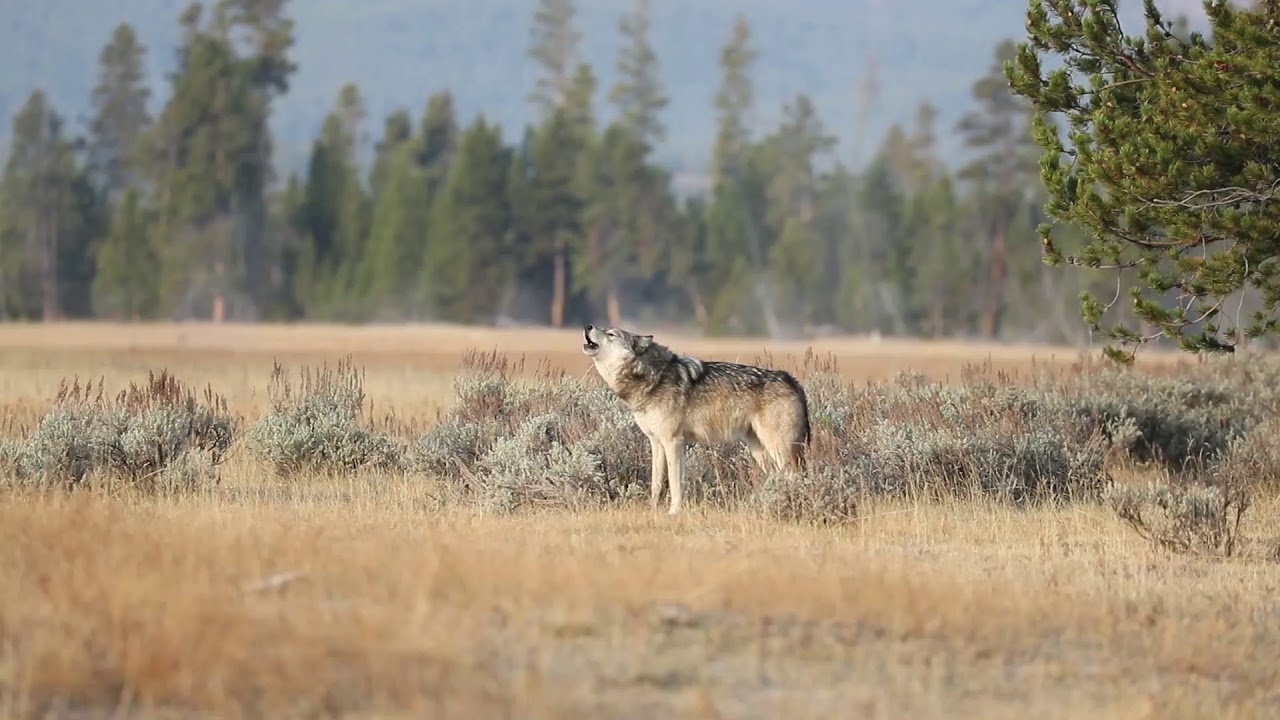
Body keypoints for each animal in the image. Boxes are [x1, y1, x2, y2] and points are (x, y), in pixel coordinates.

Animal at [581, 324, 811, 515]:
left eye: (612, 334)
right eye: (605, 329)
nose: (588, 326)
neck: (653, 377)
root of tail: (792, 380)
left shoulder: (673, 442)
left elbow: (675, 483)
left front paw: (674, 511)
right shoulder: (656, 442)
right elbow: (656, 482)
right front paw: (652, 509)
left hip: (779, 449)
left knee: (794, 477)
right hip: (760, 451)